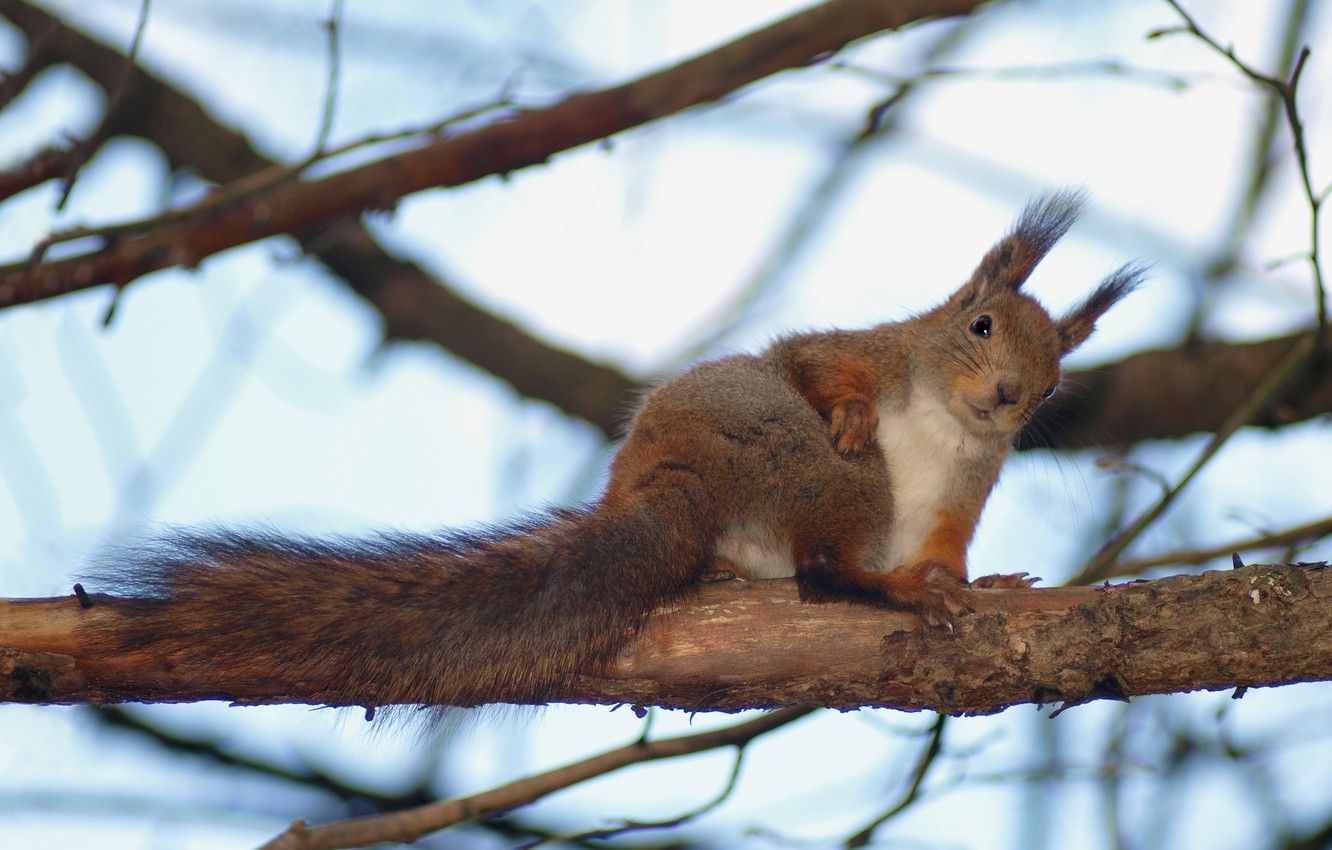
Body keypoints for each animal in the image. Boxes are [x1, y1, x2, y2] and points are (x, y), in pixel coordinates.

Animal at [83, 190, 1141, 708]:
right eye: (979, 325)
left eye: (1055, 383)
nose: (1008, 399)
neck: (946, 420)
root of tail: (668, 478)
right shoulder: (870, 353)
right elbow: (816, 363)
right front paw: (846, 412)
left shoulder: (965, 487)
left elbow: (949, 544)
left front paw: (982, 583)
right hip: (811, 467)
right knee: (824, 570)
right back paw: (888, 588)